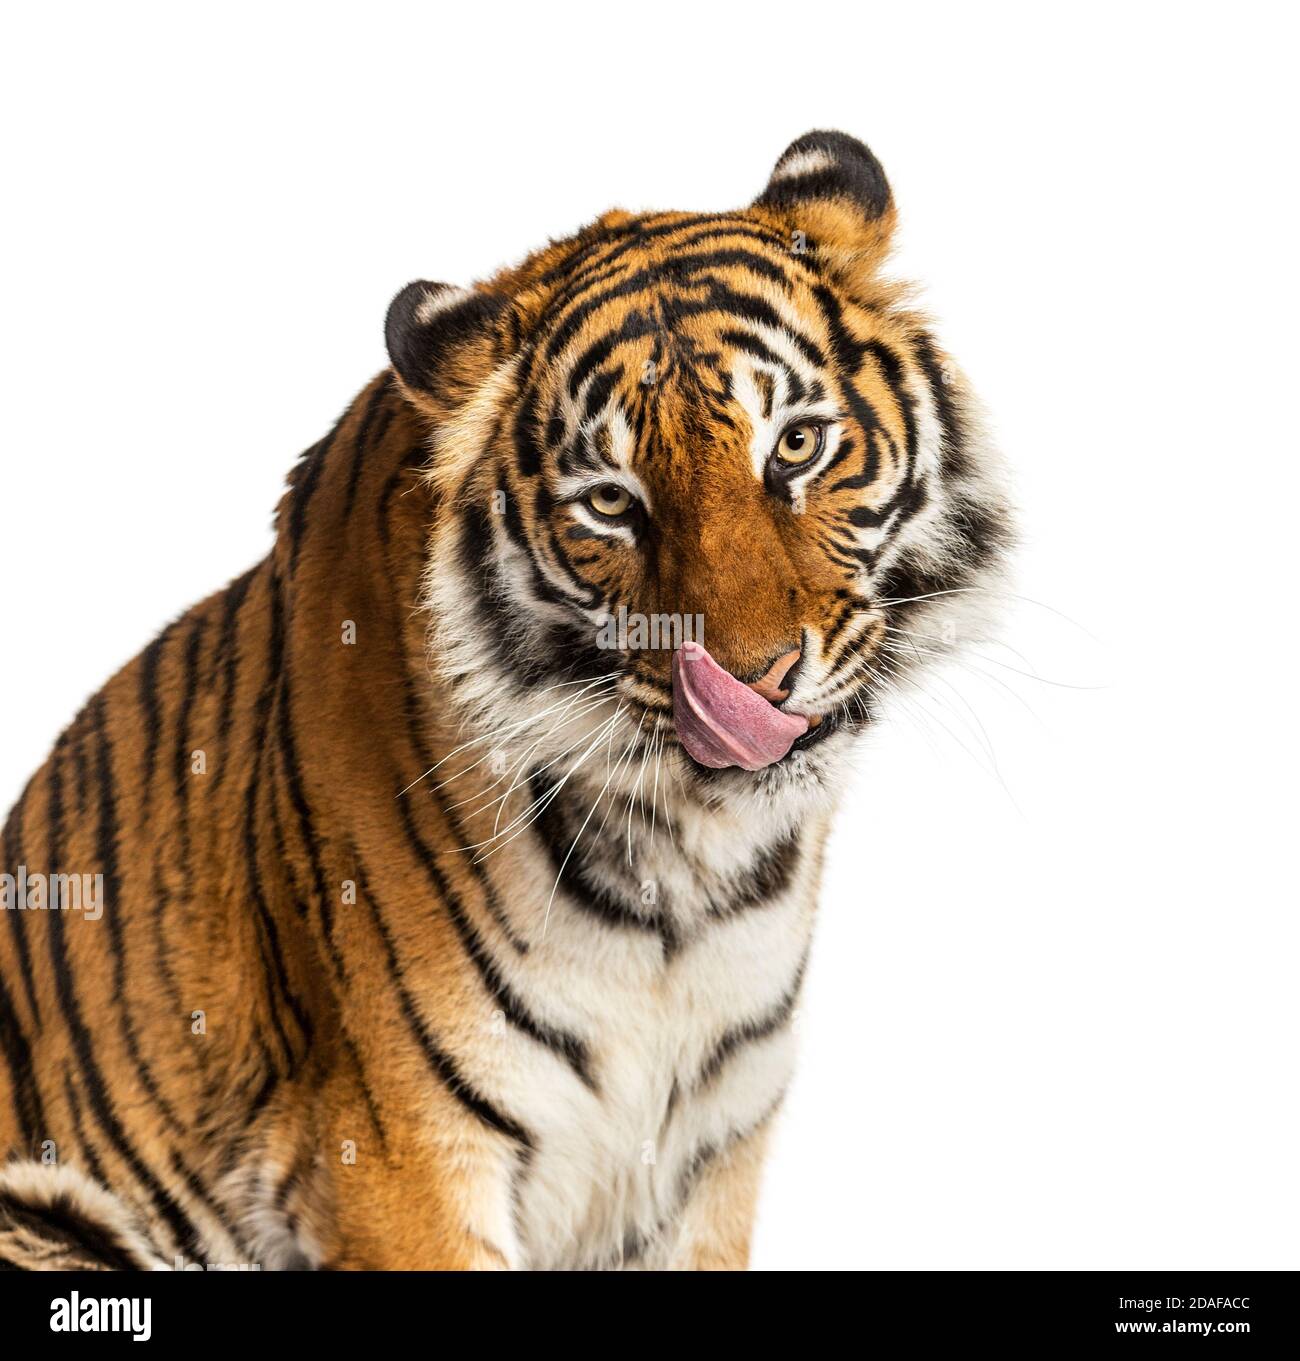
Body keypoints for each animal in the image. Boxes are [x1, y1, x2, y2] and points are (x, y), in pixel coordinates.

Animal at [0, 130, 1011, 1271]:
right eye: (611, 503)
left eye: (794, 445)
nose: (752, 680)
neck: (688, 877)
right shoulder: (396, 1155)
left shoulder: (710, 1156)